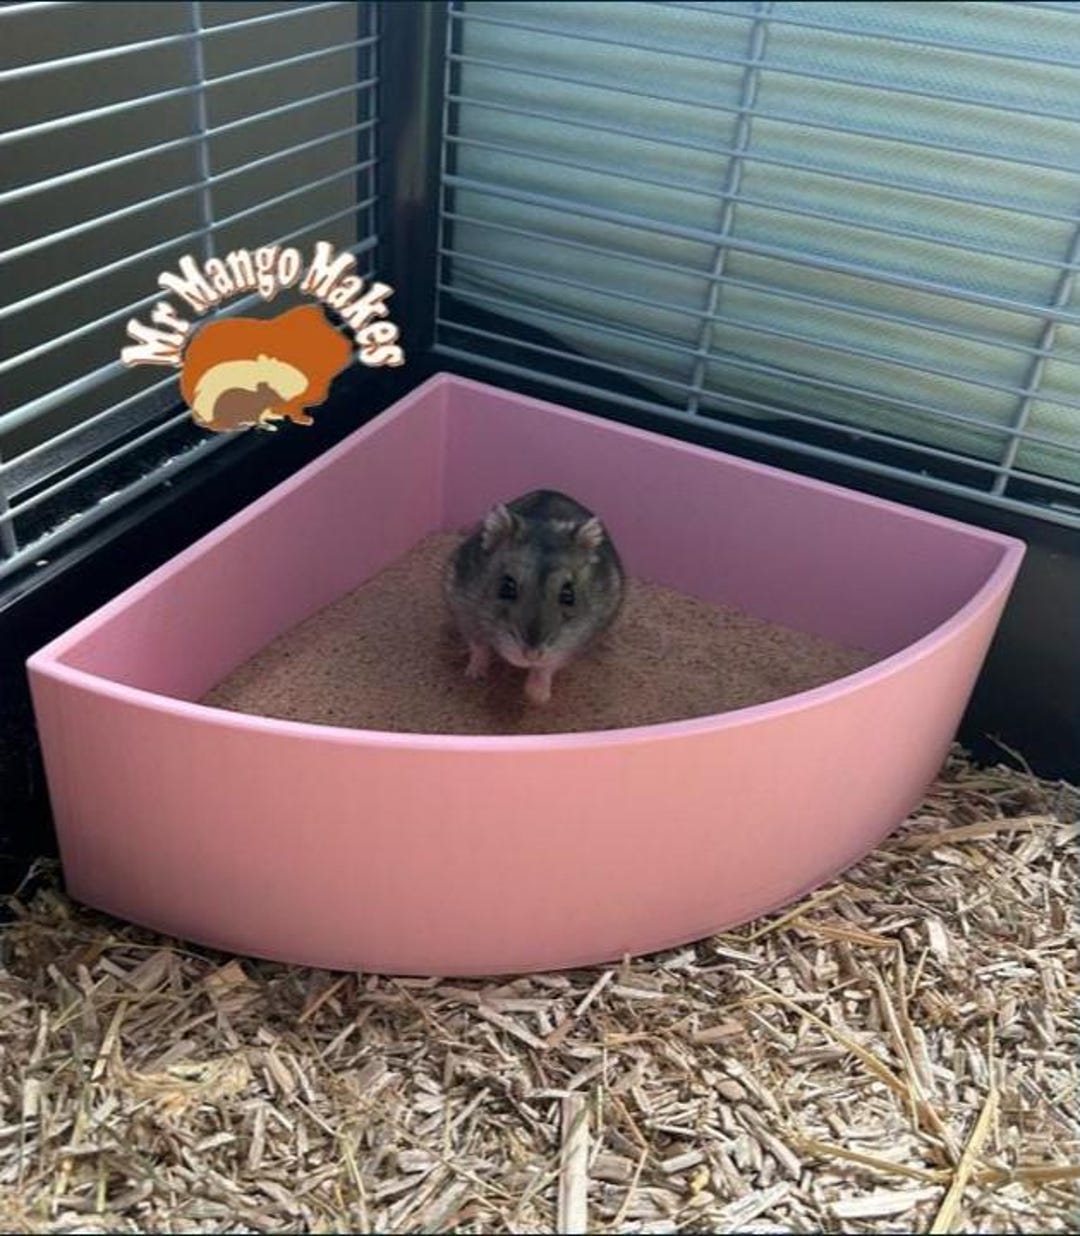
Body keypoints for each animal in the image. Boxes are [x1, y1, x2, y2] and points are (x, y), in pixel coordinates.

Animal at [444, 489, 625, 705]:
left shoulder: (574, 642)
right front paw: (474, 675)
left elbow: (547, 667)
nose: (531, 656)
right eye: (507, 587)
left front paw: (535, 697)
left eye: (568, 595)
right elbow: (479, 645)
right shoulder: (463, 606)